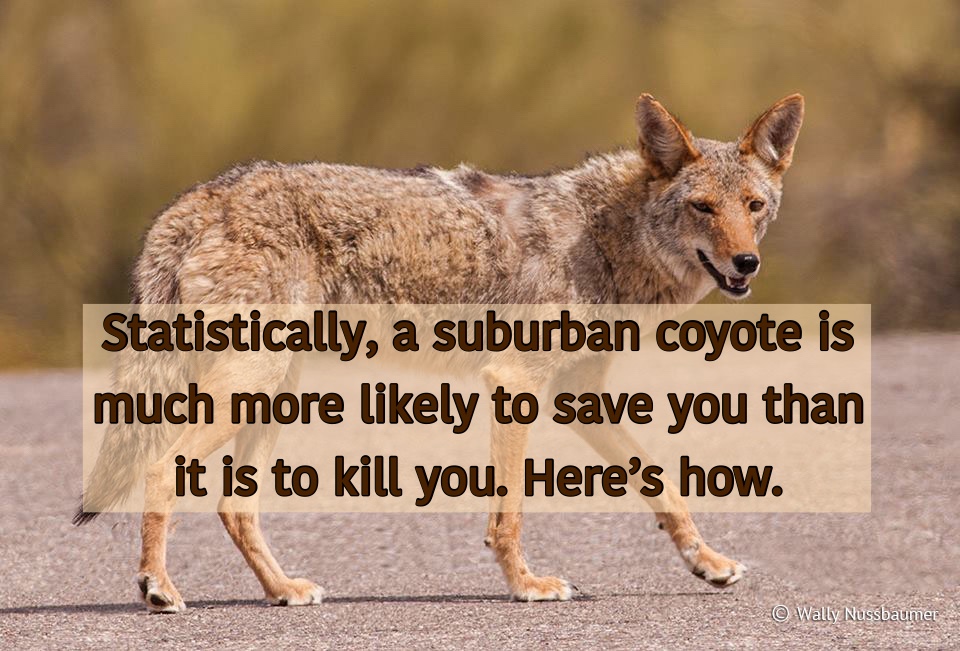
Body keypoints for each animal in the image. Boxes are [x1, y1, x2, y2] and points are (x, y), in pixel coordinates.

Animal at [76, 93, 804, 612]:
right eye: (703, 207)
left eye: (753, 206)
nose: (747, 263)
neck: (603, 238)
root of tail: (200, 195)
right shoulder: (515, 380)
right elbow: (509, 511)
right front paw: (527, 586)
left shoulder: (578, 394)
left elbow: (663, 484)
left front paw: (708, 563)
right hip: (250, 388)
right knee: (162, 467)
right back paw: (159, 589)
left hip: (275, 392)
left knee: (233, 504)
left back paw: (283, 591)